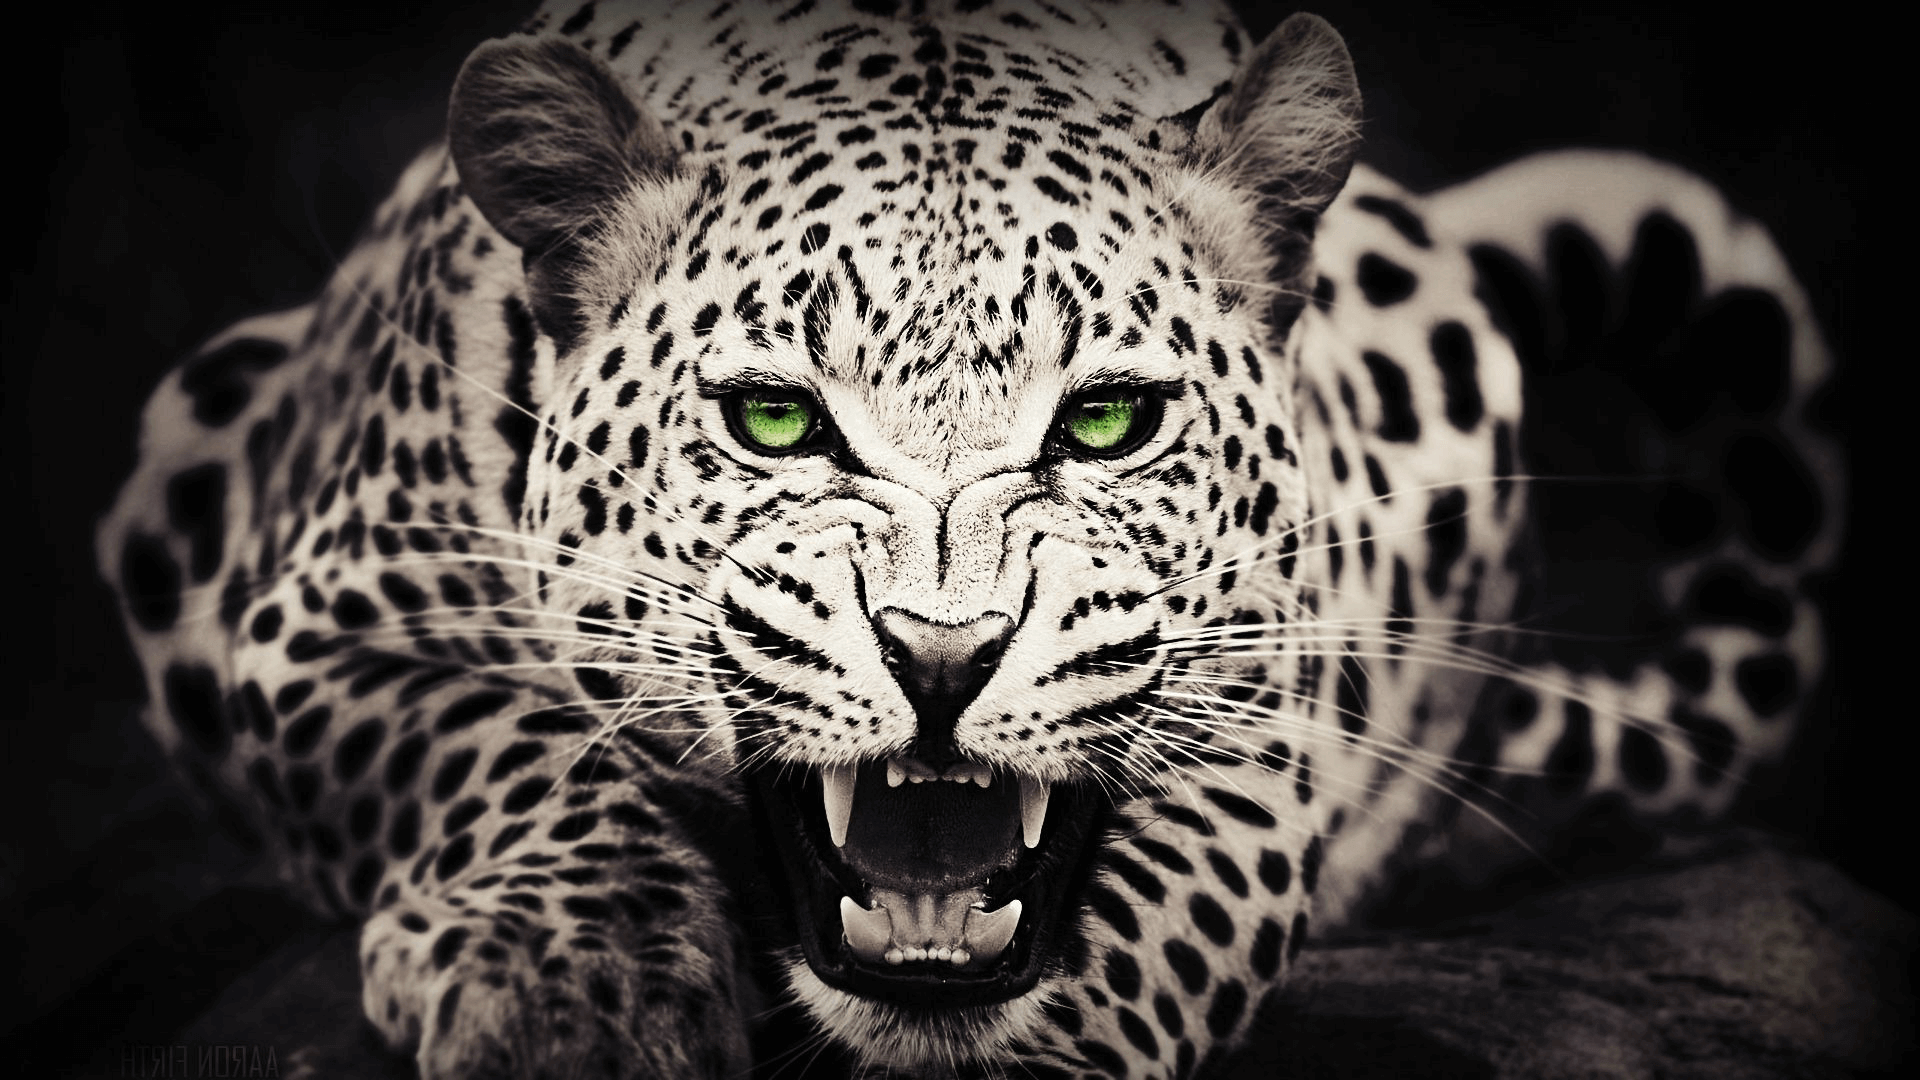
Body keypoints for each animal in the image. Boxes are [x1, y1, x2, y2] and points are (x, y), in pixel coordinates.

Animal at [96, 1, 1843, 1077]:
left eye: (1108, 422)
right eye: (777, 421)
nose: (944, 658)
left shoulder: (1264, 718)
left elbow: (1157, 917)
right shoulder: (312, 619)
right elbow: (491, 746)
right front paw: (569, 989)